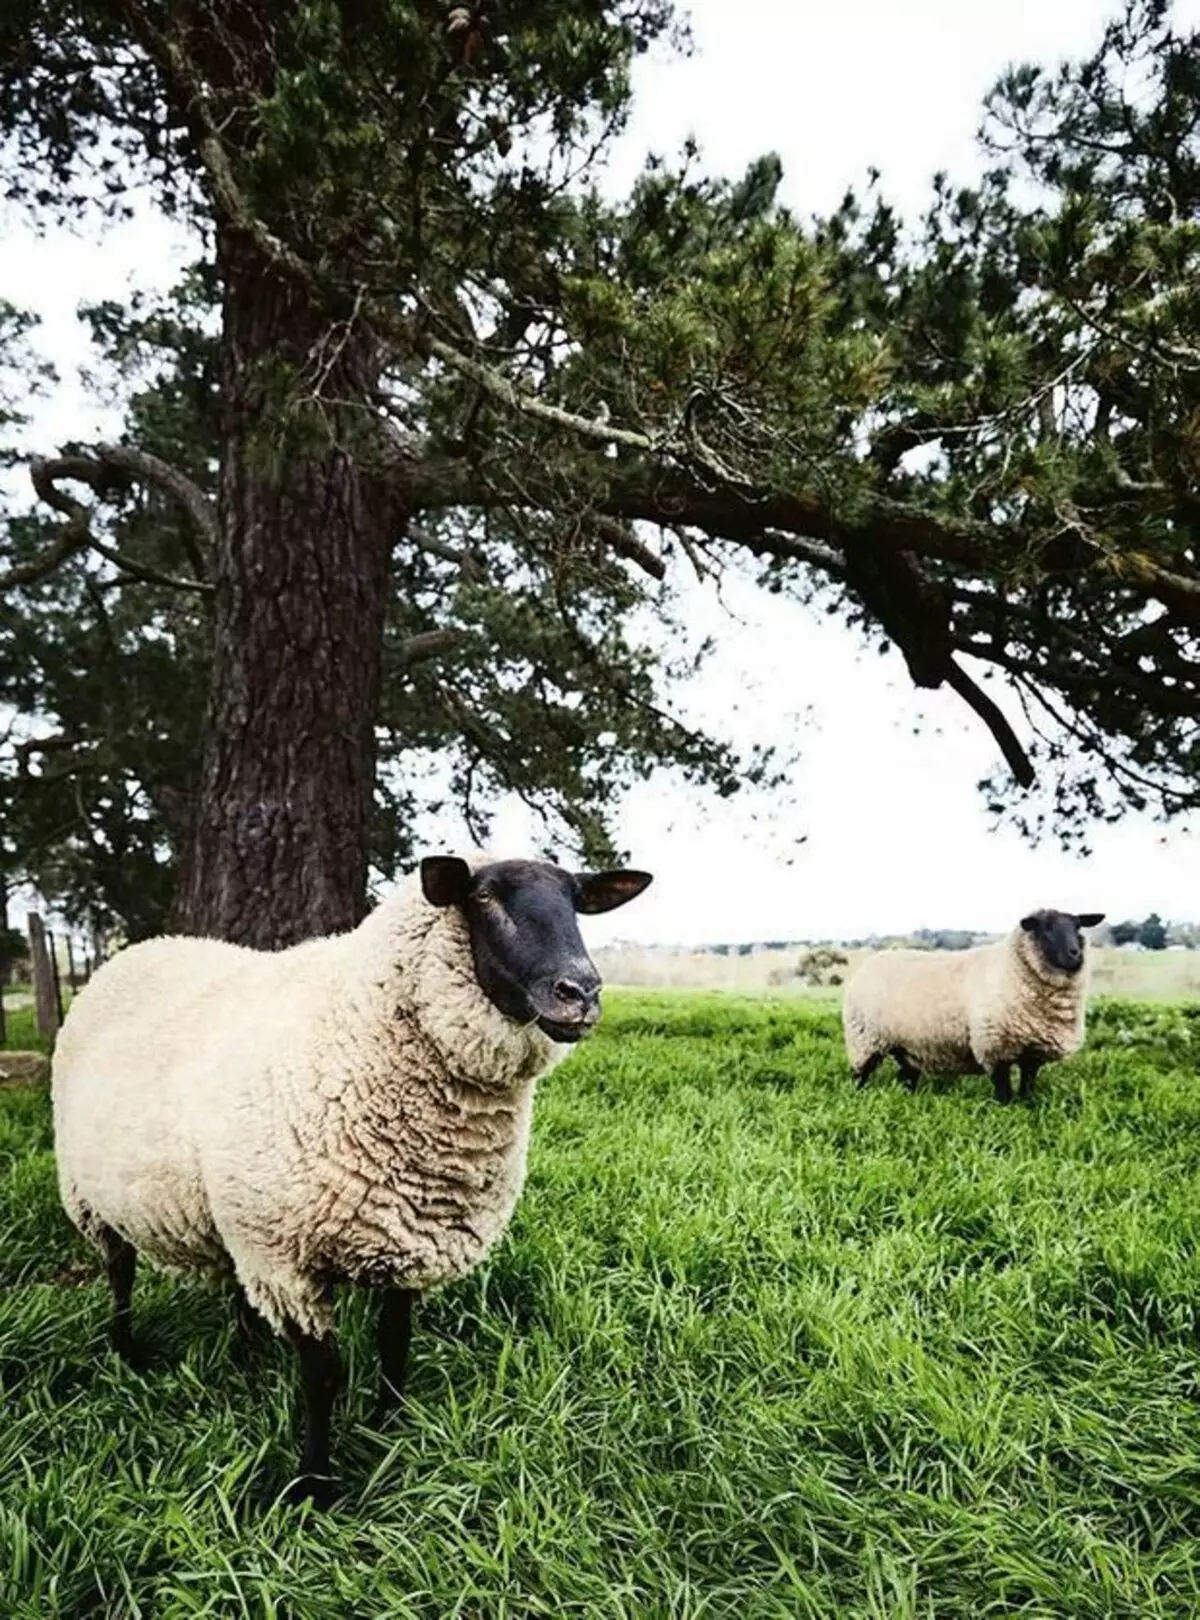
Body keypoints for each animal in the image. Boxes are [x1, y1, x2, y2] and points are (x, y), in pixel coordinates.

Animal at [53, 855, 654, 1496]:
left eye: (575, 902)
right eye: (484, 897)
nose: (581, 992)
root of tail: (140, 949)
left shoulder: (410, 1238)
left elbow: (394, 1347)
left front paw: (390, 1429)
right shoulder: (287, 1261)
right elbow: (323, 1377)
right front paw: (315, 1484)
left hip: (233, 1213)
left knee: (235, 1286)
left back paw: (248, 1360)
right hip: (92, 1195)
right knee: (119, 1271)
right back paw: (126, 1351)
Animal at [835, 907, 1101, 1108]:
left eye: (1078, 927)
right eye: (1045, 929)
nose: (1075, 954)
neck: (1012, 968)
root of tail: (868, 963)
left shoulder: (1033, 1048)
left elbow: (1028, 1082)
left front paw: (1028, 1104)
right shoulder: (994, 1044)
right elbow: (1003, 1085)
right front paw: (1005, 1108)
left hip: (906, 1044)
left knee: (906, 1075)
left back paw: (908, 1097)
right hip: (865, 1039)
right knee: (860, 1074)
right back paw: (858, 1096)